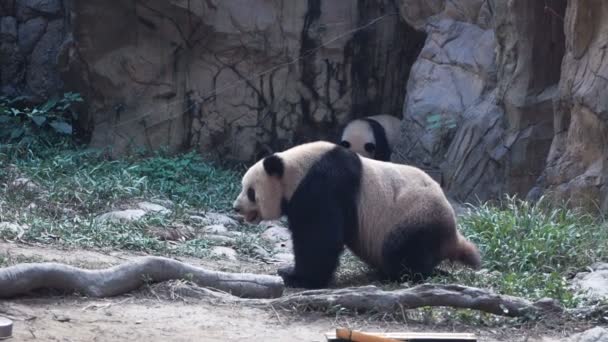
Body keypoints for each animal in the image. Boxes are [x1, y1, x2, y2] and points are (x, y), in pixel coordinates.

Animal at [230, 141, 482, 288]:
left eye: (250, 192)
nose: (236, 207)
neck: (295, 167)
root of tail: (452, 234)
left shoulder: (324, 184)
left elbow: (319, 238)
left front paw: (295, 276)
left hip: (415, 217)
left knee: (405, 251)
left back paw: (408, 274)